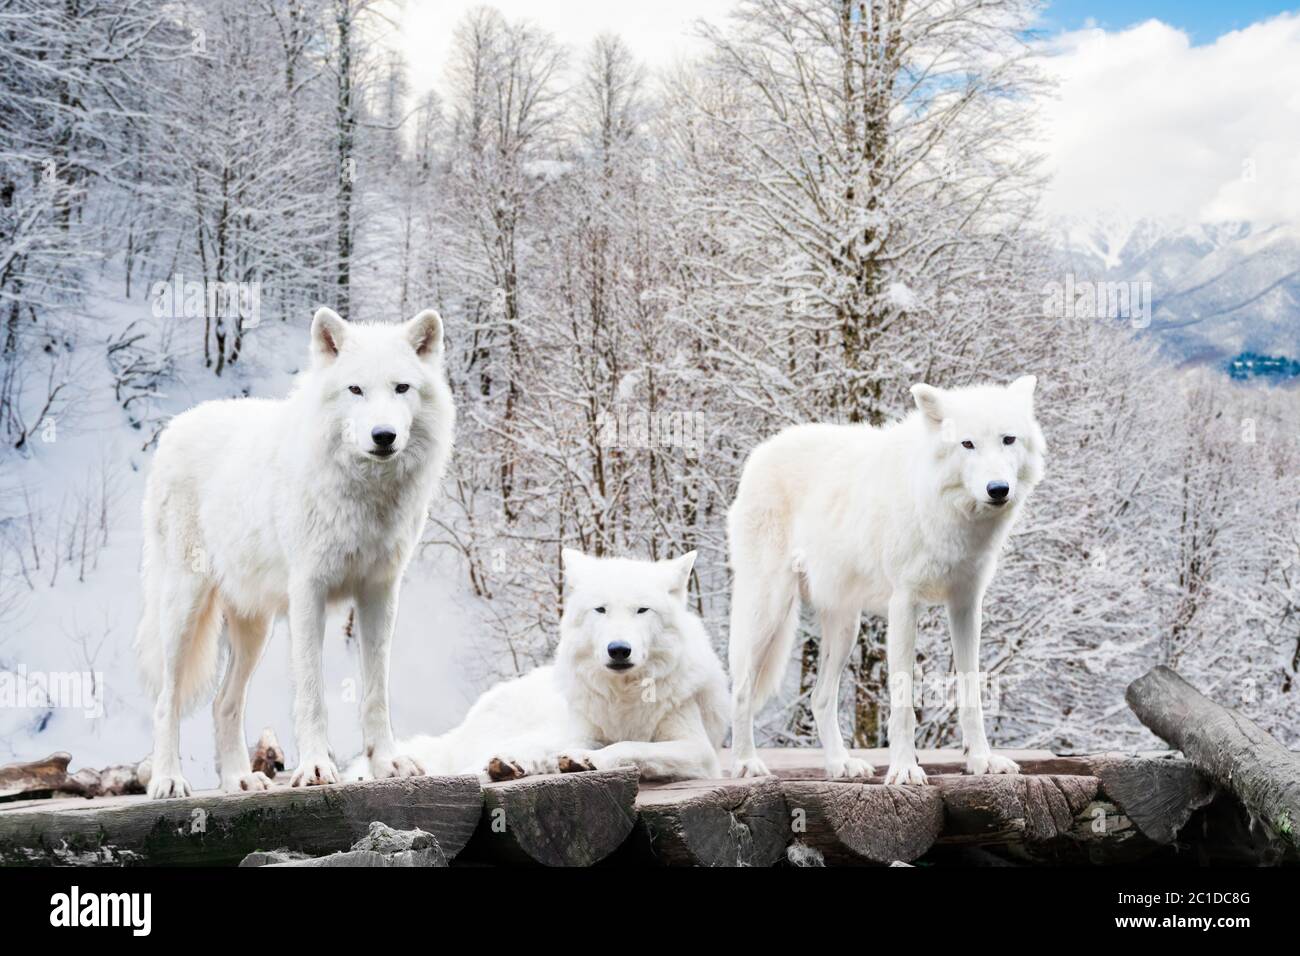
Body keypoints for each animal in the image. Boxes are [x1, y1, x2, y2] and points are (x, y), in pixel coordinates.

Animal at [135, 307, 454, 798]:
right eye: (355, 390)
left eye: (401, 388)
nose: (383, 435)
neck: (365, 495)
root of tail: (176, 425)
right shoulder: (309, 592)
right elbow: (311, 691)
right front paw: (317, 768)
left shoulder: (380, 593)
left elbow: (376, 692)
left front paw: (387, 763)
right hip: (183, 609)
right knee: (165, 700)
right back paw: (169, 780)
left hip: (254, 628)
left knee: (223, 703)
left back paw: (240, 780)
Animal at [348, 550, 728, 783]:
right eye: (601, 610)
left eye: (642, 610)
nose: (619, 650)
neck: (625, 697)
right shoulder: (584, 729)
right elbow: (609, 745)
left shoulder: (698, 750)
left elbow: (630, 747)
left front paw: (587, 759)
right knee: (478, 763)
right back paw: (504, 765)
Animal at [727, 376, 1045, 784]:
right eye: (967, 444)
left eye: (1008, 440)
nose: (998, 489)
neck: (945, 510)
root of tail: (762, 450)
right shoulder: (904, 603)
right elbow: (903, 700)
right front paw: (905, 769)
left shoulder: (966, 605)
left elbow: (971, 691)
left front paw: (982, 761)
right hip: (769, 609)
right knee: (741, 690)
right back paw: (746, 763)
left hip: (845, 628)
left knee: (819, 698)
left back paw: (840, 765)